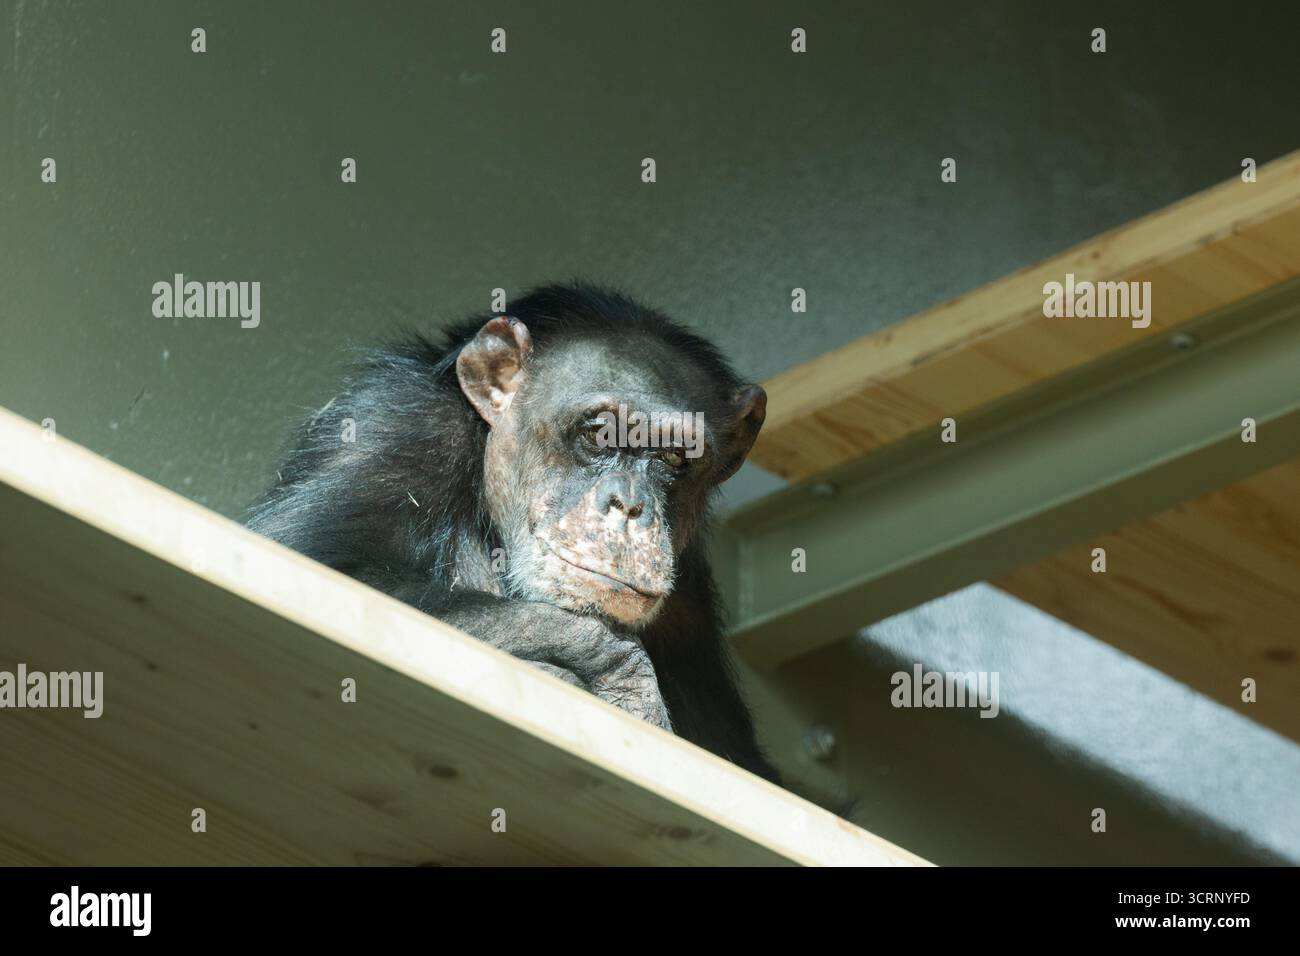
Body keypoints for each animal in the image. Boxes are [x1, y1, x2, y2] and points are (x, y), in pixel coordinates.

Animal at [247, 282, 779, 782]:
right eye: (598, 433)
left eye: (672, 457)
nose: (629, 504)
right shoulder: (395, 424)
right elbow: (315, 563)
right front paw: (623, 677)